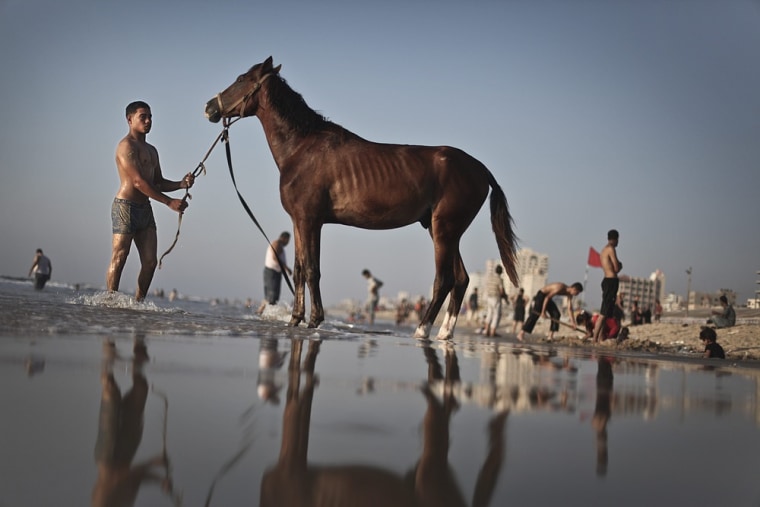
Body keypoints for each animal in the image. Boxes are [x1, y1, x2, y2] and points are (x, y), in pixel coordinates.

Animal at [205, 56, 518, 340]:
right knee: (462, 279)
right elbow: (298, 269)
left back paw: (421, 330)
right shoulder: (298, 221)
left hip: (445, 230)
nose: (209, 107)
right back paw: (444, 333)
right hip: (440, 229)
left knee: (445, 279)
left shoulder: (310, 220)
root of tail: (480, 168)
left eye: (242, 78)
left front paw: (314, 320)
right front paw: (295, 319)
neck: (301, 148)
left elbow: (312, 270)